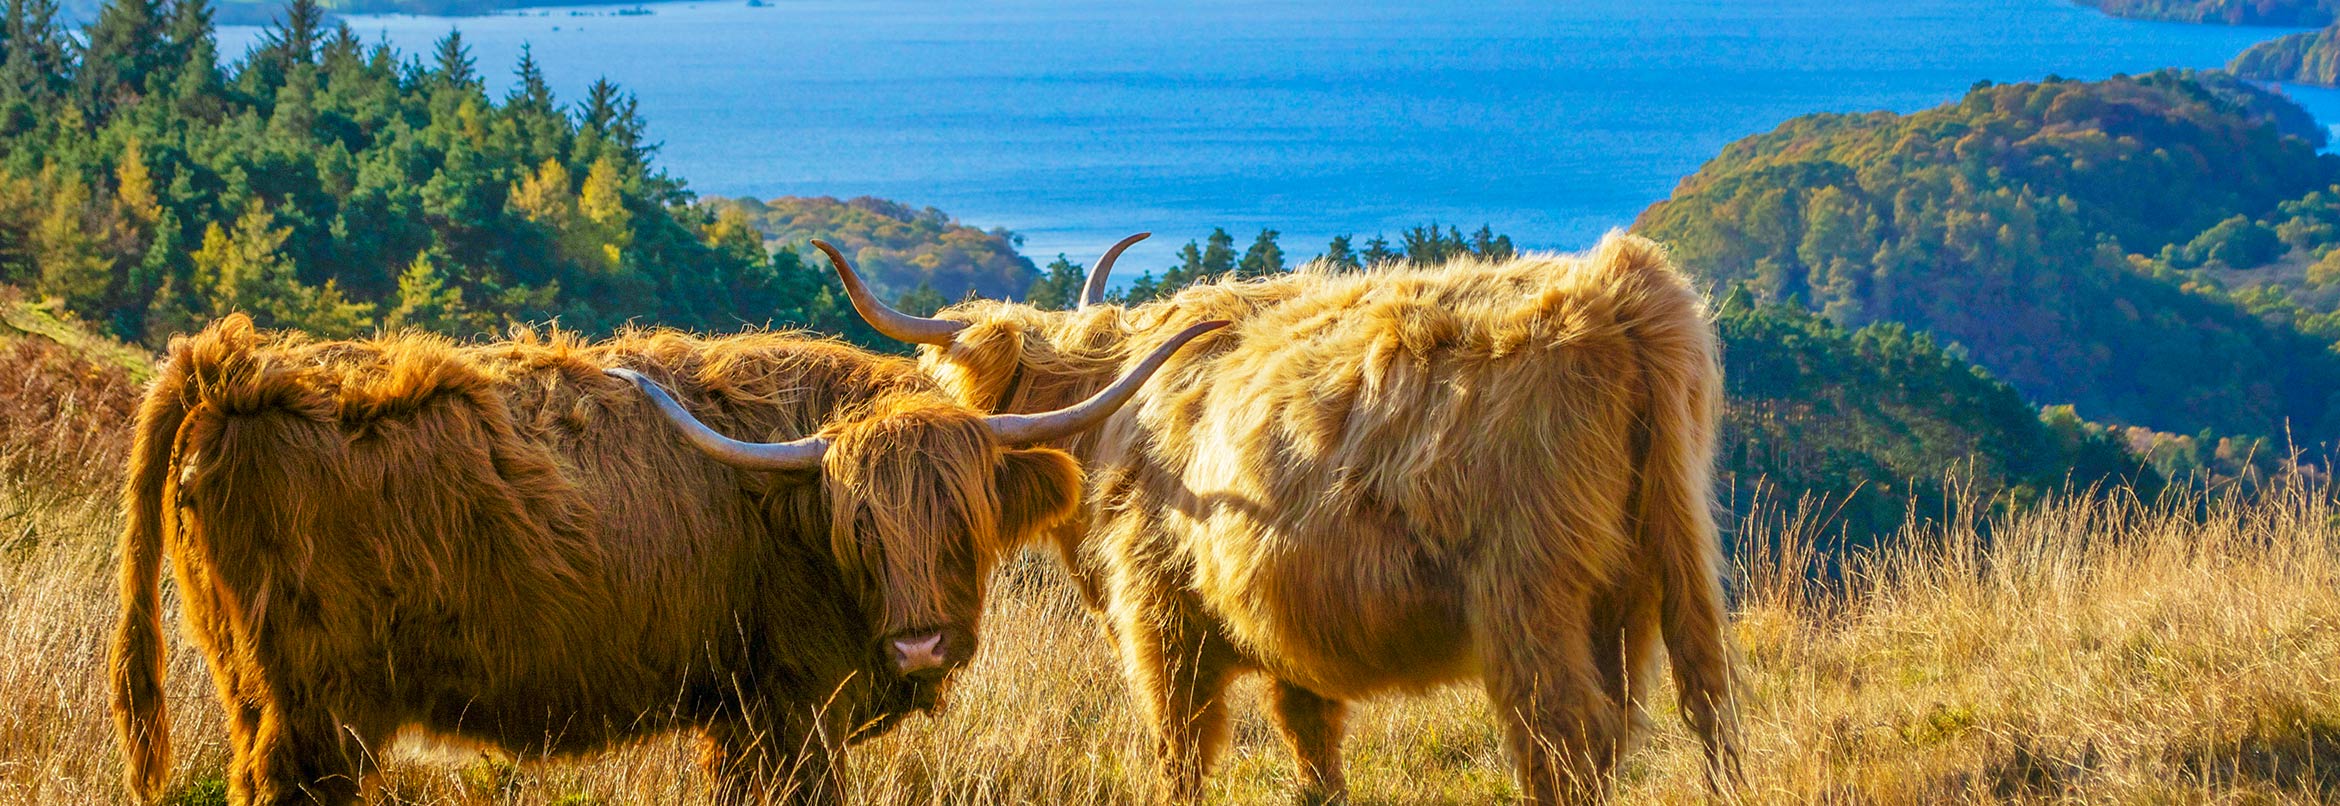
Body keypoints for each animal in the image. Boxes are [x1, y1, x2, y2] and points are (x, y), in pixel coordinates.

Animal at [111, 300, 1219, 805]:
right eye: (861, 525)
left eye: (964, 515)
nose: (918, 646)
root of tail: (227, 369)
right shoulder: (798, 708)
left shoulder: (739, 714)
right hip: (313, 713)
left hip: (263, 695)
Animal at [647, 235, 1742, 803]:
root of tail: (1620, 291)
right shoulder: (1296, 630)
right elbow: (1312, 742)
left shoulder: (1158, 611)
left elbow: (1178, 743)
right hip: (1676, 563)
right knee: (1703, 705)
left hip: (1530, 600)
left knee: (1567, 736)